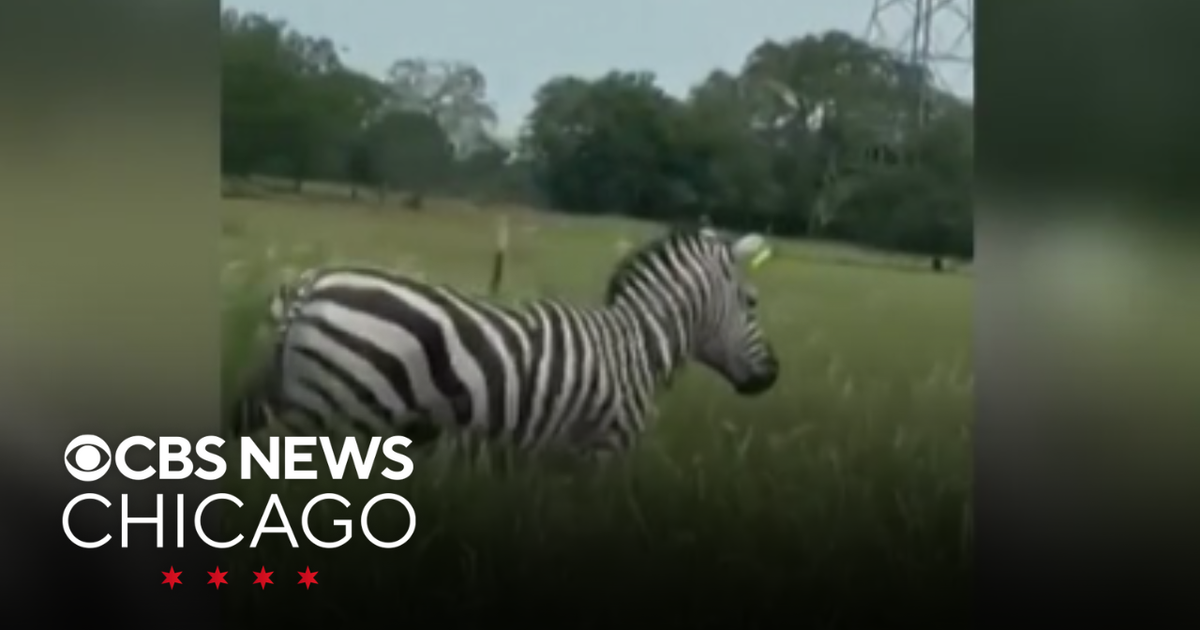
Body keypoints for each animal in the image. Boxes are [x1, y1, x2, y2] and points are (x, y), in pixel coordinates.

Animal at [227, 226, 780, 460]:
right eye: (752, 302)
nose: (773, 376)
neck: (639, 344)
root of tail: (311, 284)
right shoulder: (605, 446)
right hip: (330, 416)